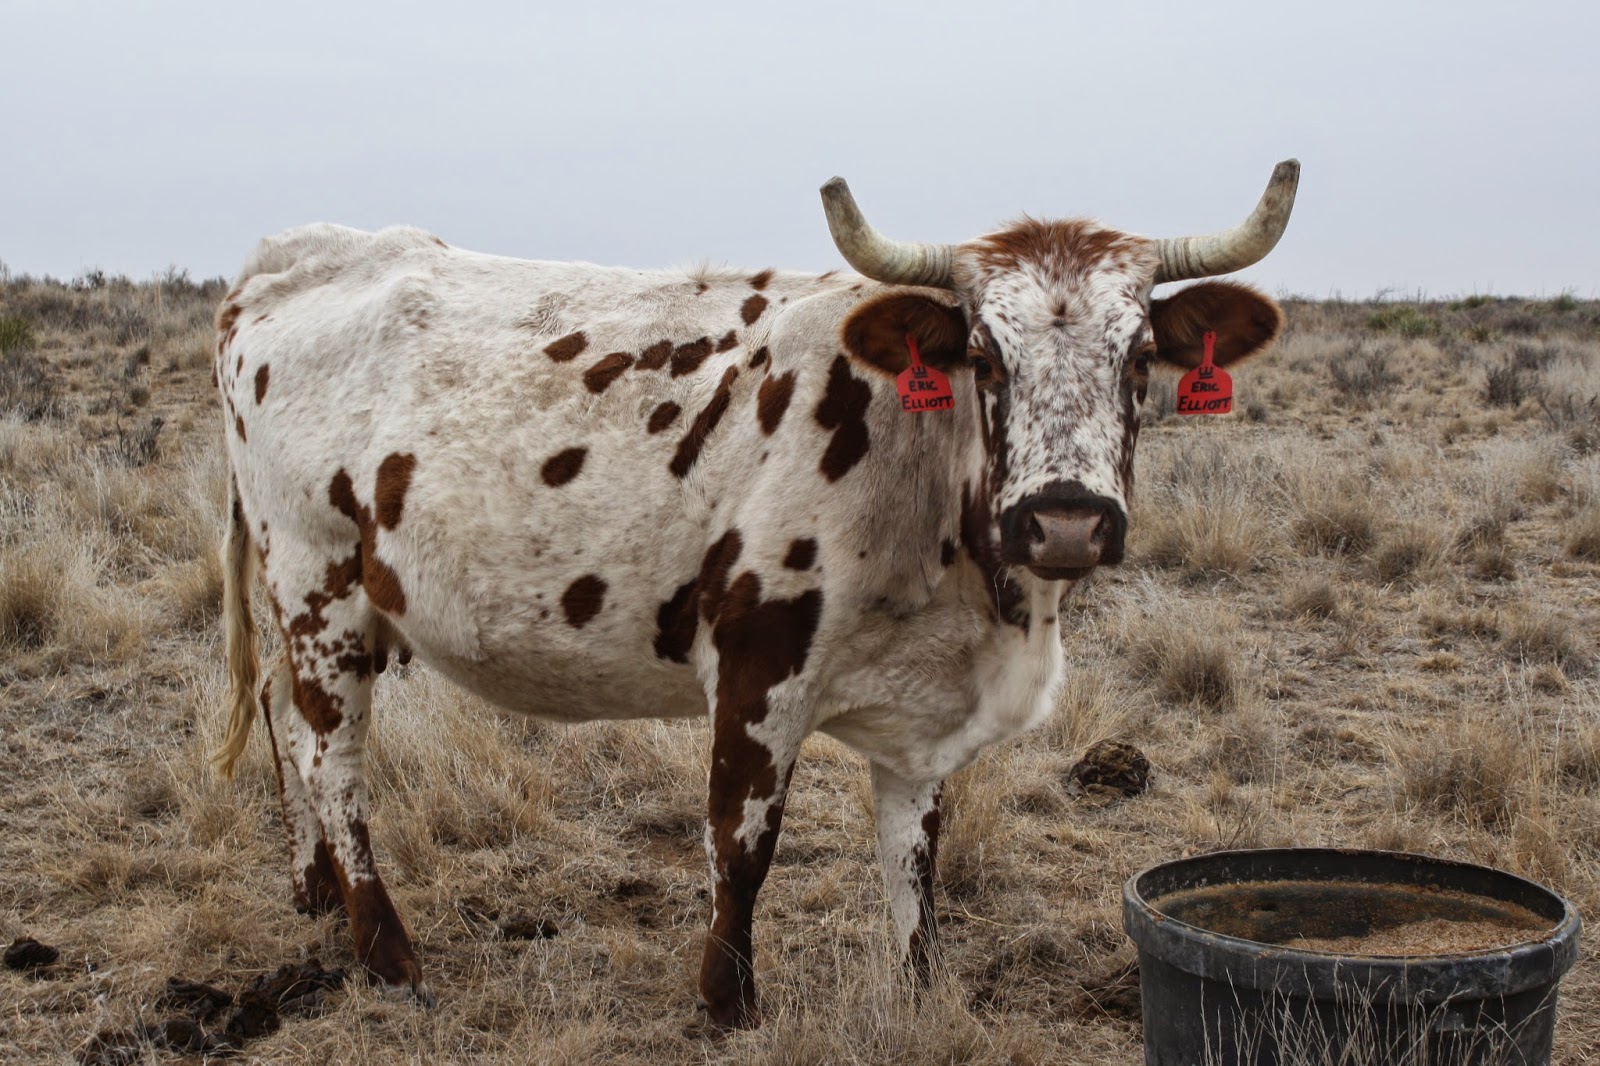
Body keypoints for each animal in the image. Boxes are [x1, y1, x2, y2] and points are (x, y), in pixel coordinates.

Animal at [212, 161, 1299, 1029]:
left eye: (1139, 356)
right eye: (985, 355)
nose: (1066, 521)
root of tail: (298, 256)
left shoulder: (922, 708)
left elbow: (913, 852)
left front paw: (918, 989)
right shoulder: (756, 666)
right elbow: (742, 843)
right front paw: (726, 1000)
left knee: (285, 727)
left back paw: (314, 892)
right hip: (318, 584)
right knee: (333, 760)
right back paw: (385, 949)